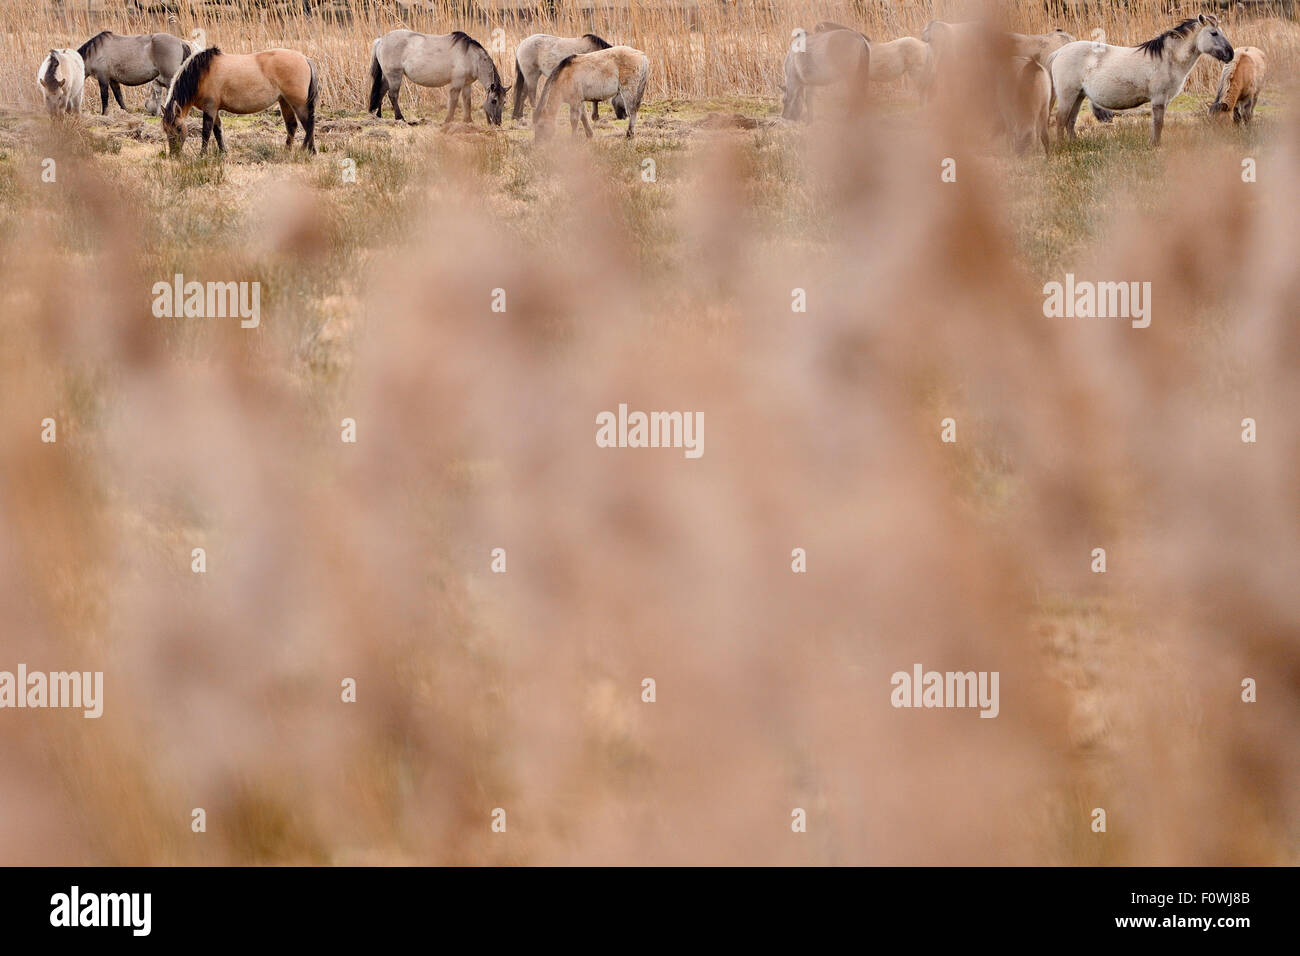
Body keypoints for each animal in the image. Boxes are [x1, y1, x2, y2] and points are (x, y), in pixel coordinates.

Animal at [161, 47, 318, 156]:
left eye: (178, 128)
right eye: (165, 129)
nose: (174, 154)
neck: (201, 74)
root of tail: (305, 58)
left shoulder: (210, 107)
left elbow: (206, 131)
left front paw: (202, 154)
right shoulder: (215, 109)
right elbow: (217, 130)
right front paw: (223, 152)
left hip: (298, 103)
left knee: (308, 124)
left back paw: (308, 150)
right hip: (284, 101)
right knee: (292, 125)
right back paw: (290, 150)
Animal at [368, 30, 507, 126]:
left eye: (504, 102)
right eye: (494, 100)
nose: (498, 123)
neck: (472, 57)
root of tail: (380, 40)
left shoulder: (467, 84)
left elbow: (467, 101)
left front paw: (468, 121)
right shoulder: (457, 84)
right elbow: (454, 101)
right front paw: (448, 120)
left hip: (388, 77)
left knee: (381, 91)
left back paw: (378, 115)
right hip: (395, 76)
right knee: (393, 95)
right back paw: (400, 118)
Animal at [1049, 15, 1234, 145]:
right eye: (1213, 33)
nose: (1230, 54)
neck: (1168, 59)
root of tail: (1059, 52)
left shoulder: (1163, 101)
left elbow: (1156, 123)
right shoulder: (1159, 99)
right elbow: (1158, 123)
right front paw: (1155, 145)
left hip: (1078, 96)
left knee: (1070, 122)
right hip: (1067, 95)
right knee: (1061, 120)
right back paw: (1061, 146)